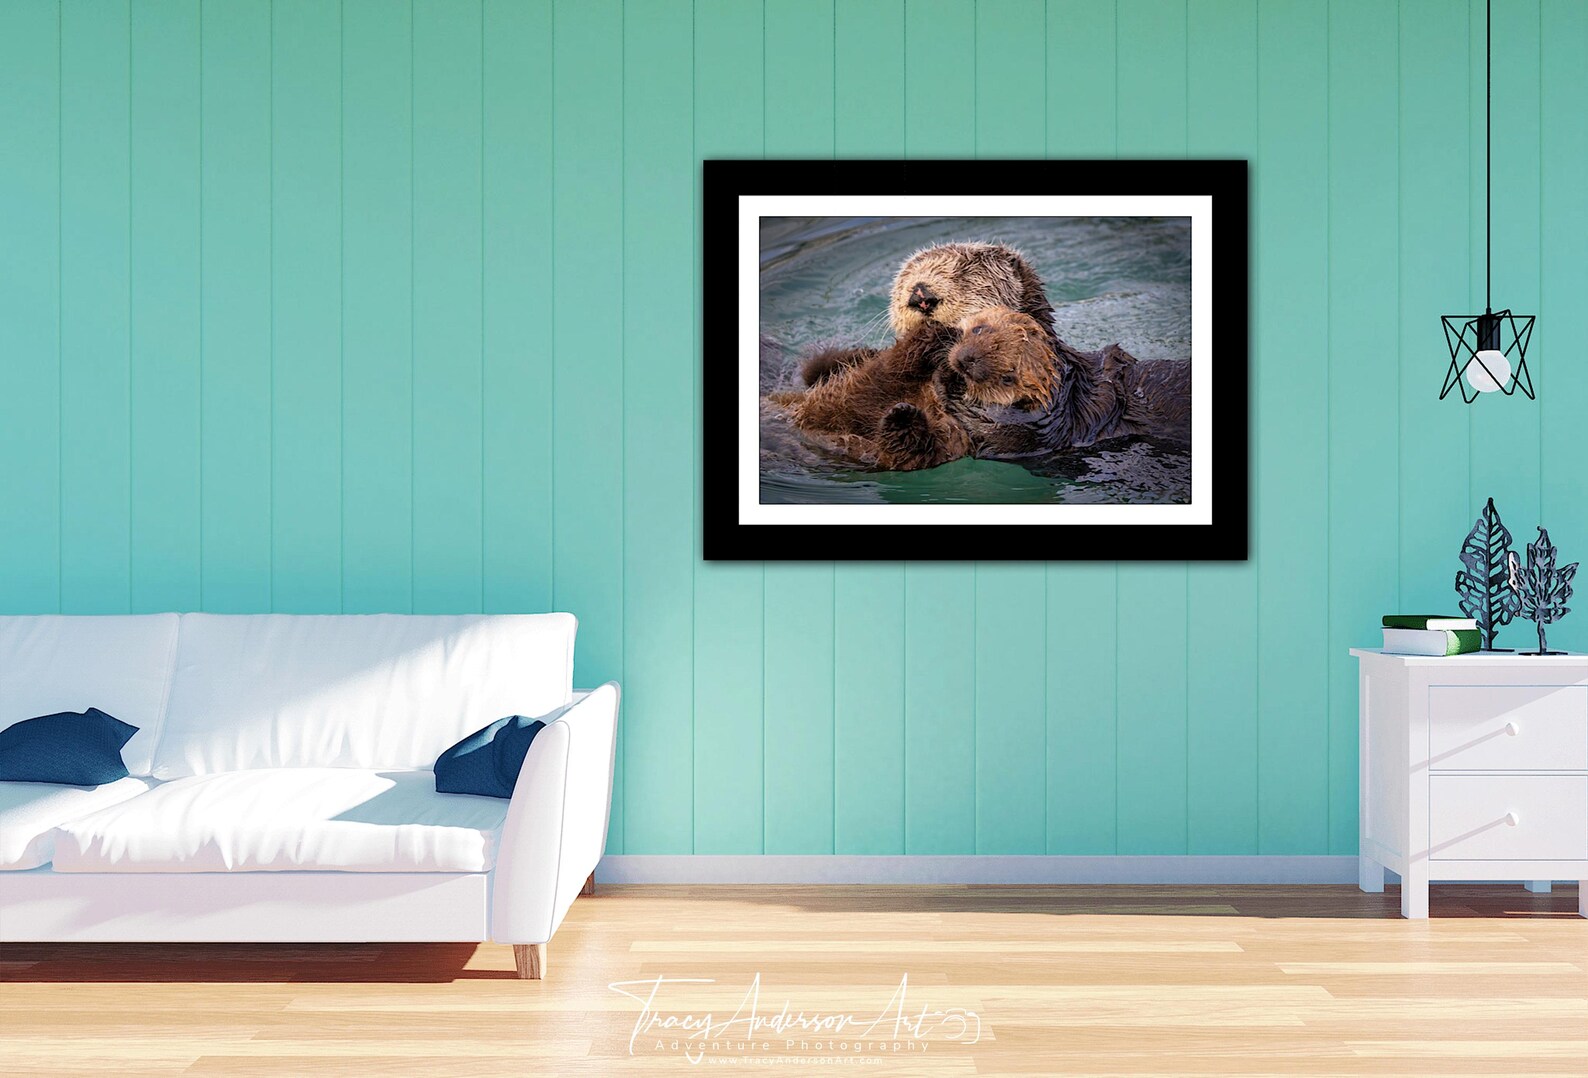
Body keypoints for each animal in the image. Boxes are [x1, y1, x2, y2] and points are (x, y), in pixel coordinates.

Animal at [938, 307, 1191, 459]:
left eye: (1007, 377)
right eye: (979, 328)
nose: (964, 360)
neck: (1068, 392)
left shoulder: (1041, 434)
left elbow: (993, 437)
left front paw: (945, 381)